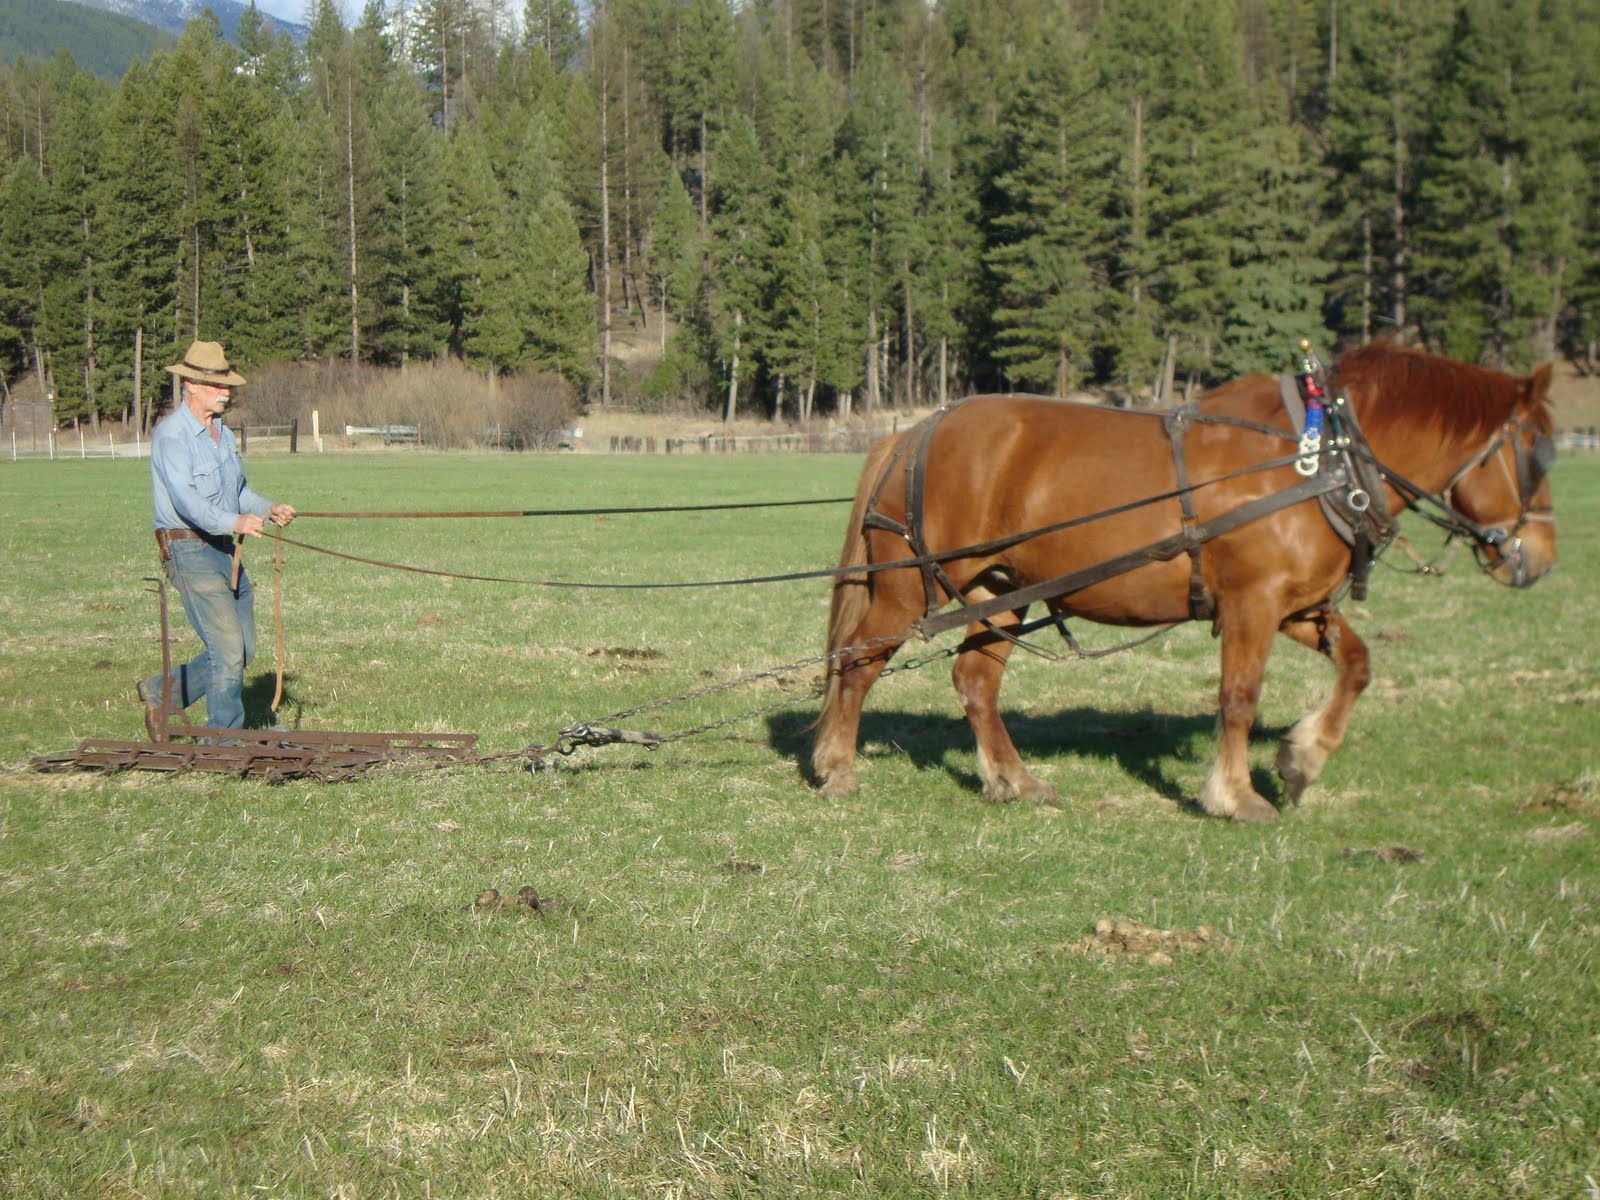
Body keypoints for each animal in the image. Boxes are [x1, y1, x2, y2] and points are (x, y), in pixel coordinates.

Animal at [811, 341, 1557, 821]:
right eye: (1540, 452)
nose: (1543, 559)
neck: (1320, 458)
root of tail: (913, 432)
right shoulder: (1253, 604)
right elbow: (1238, 696)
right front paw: (1236, 795)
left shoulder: (1297, 605)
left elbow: (1356, 663)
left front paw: (1302, 759)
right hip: (910, 587)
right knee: (857, 662)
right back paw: (838, 766)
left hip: (999, 588)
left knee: (974, 682)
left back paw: (1013, 780)